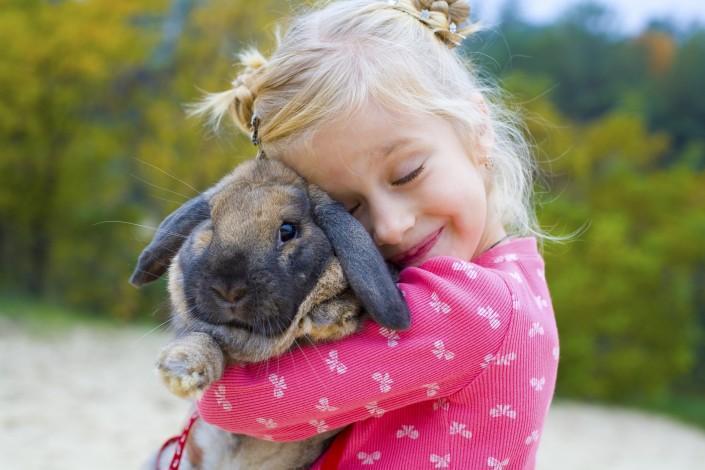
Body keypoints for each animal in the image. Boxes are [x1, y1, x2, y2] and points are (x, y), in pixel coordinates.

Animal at [130, 158, 410, 469]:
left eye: (288, 230)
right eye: (211, 226)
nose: (229, 288)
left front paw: (333, 314)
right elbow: (203, 339)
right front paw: (182, 371)